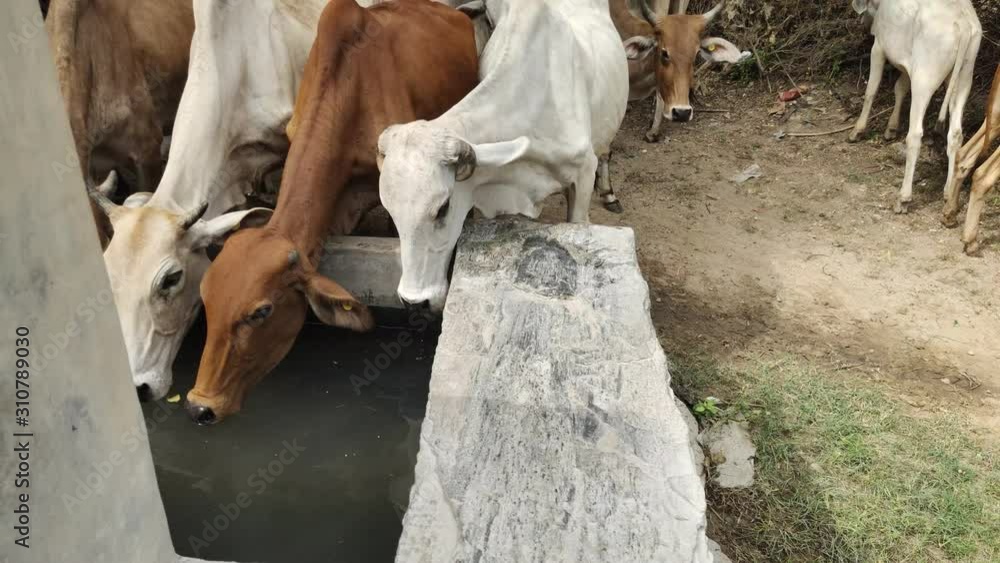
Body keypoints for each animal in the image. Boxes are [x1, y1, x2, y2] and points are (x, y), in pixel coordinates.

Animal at [848, 0, 981, 215]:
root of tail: (962, 22)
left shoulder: (879, 46)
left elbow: (871, 90)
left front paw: (857, 130)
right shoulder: (907, 64)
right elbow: (900, 88)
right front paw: (891, 128)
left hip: (925, 77)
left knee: (916, 135)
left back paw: (903, 198)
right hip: (964, 77)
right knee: (955, 133)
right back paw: (947, 191)